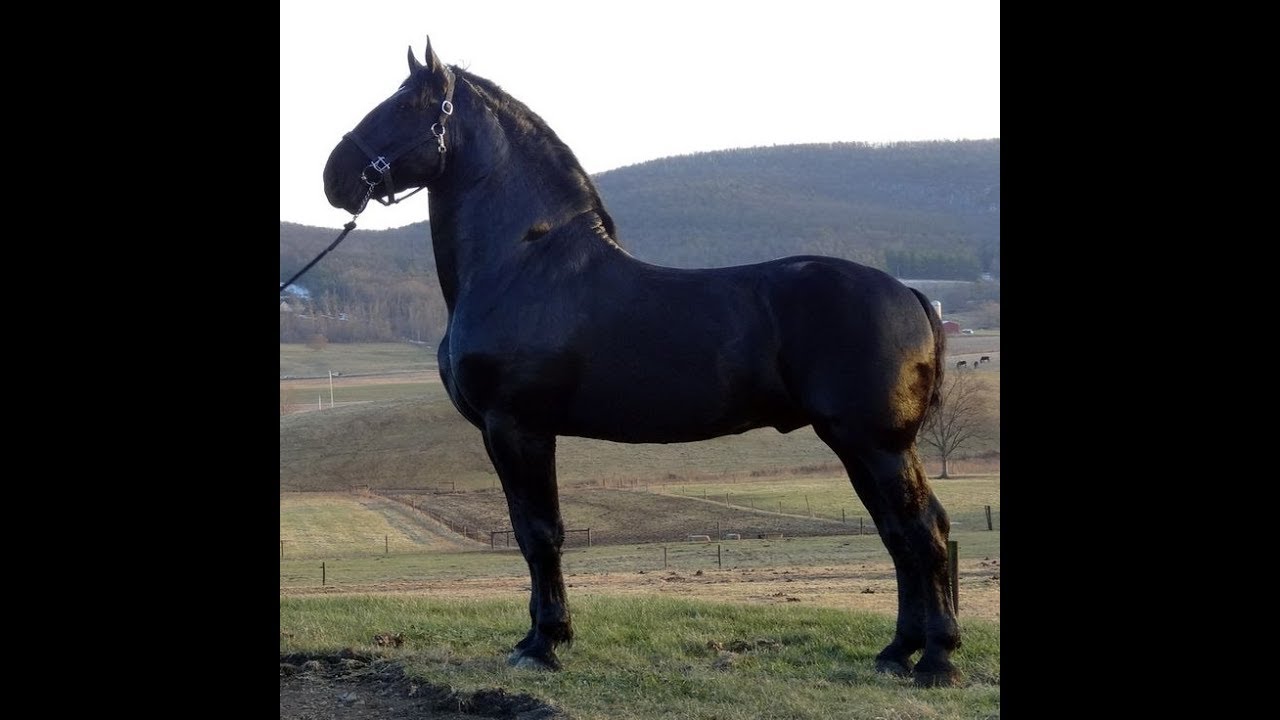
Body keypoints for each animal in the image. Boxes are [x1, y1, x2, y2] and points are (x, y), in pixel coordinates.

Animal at [321, 38, 961, 686]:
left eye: (410, 105)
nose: (335, 176)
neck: (522, 264)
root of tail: (911, 293)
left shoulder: (517, 427)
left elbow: (540, 533)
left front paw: (544, 644)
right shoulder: (506, 433)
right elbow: (530, 533)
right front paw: (537, 636)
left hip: (874, 443)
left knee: (922, 531)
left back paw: (936, 660)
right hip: (865, 447)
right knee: (898, 534)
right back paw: (897, 652)